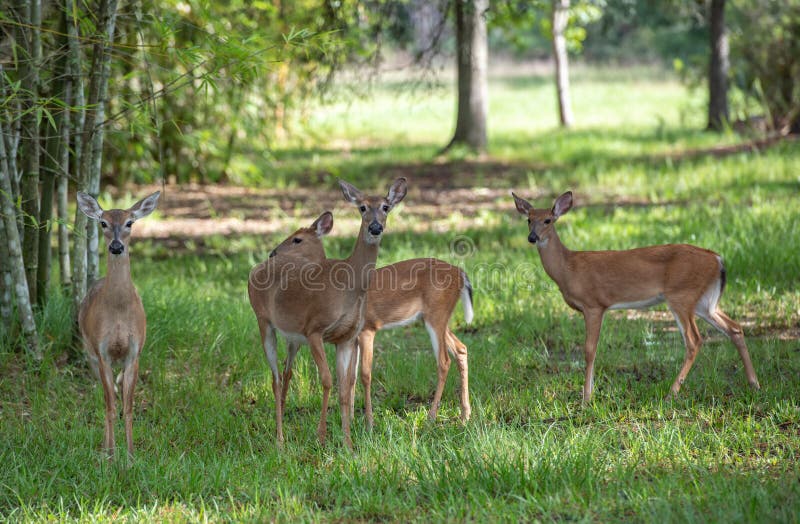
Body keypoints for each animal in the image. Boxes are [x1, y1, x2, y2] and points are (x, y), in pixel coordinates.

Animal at [76, 191, 160, 458]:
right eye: (103, 223)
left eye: (129, 223)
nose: (116, 246)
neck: (119, 312)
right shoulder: (102, 352)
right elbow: (111, 406)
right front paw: (112, 455)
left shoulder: (134, 353)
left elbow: (129, 407)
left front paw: (131, 455)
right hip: (89, 352)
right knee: (106, 396)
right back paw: (105, 449)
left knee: (117, 387)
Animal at [248, 178, 407, 449]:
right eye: (362, 208)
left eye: (386, 207)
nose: (375, 227)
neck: (348, 285)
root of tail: (255, 268)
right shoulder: (314, 329)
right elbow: (327, 380)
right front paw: (321, 437)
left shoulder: (346, 338)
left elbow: (344, 388)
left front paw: (348, 444)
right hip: (263, 320)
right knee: (275, 378)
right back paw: (279, 439)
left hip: (291, 336)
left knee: (285, 372)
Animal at [511, 190, 760, 403]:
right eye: (528, 219)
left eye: (548, 220)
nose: (532, 237)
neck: (568, 269)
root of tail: (718, 259)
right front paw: (589, 394)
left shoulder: (594, 304)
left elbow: (590, 350)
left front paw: (586, 398)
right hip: (704, 301)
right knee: (735, 328)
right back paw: (754, 384)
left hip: (681, 295)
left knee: (694, 339)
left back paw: (671, 393)